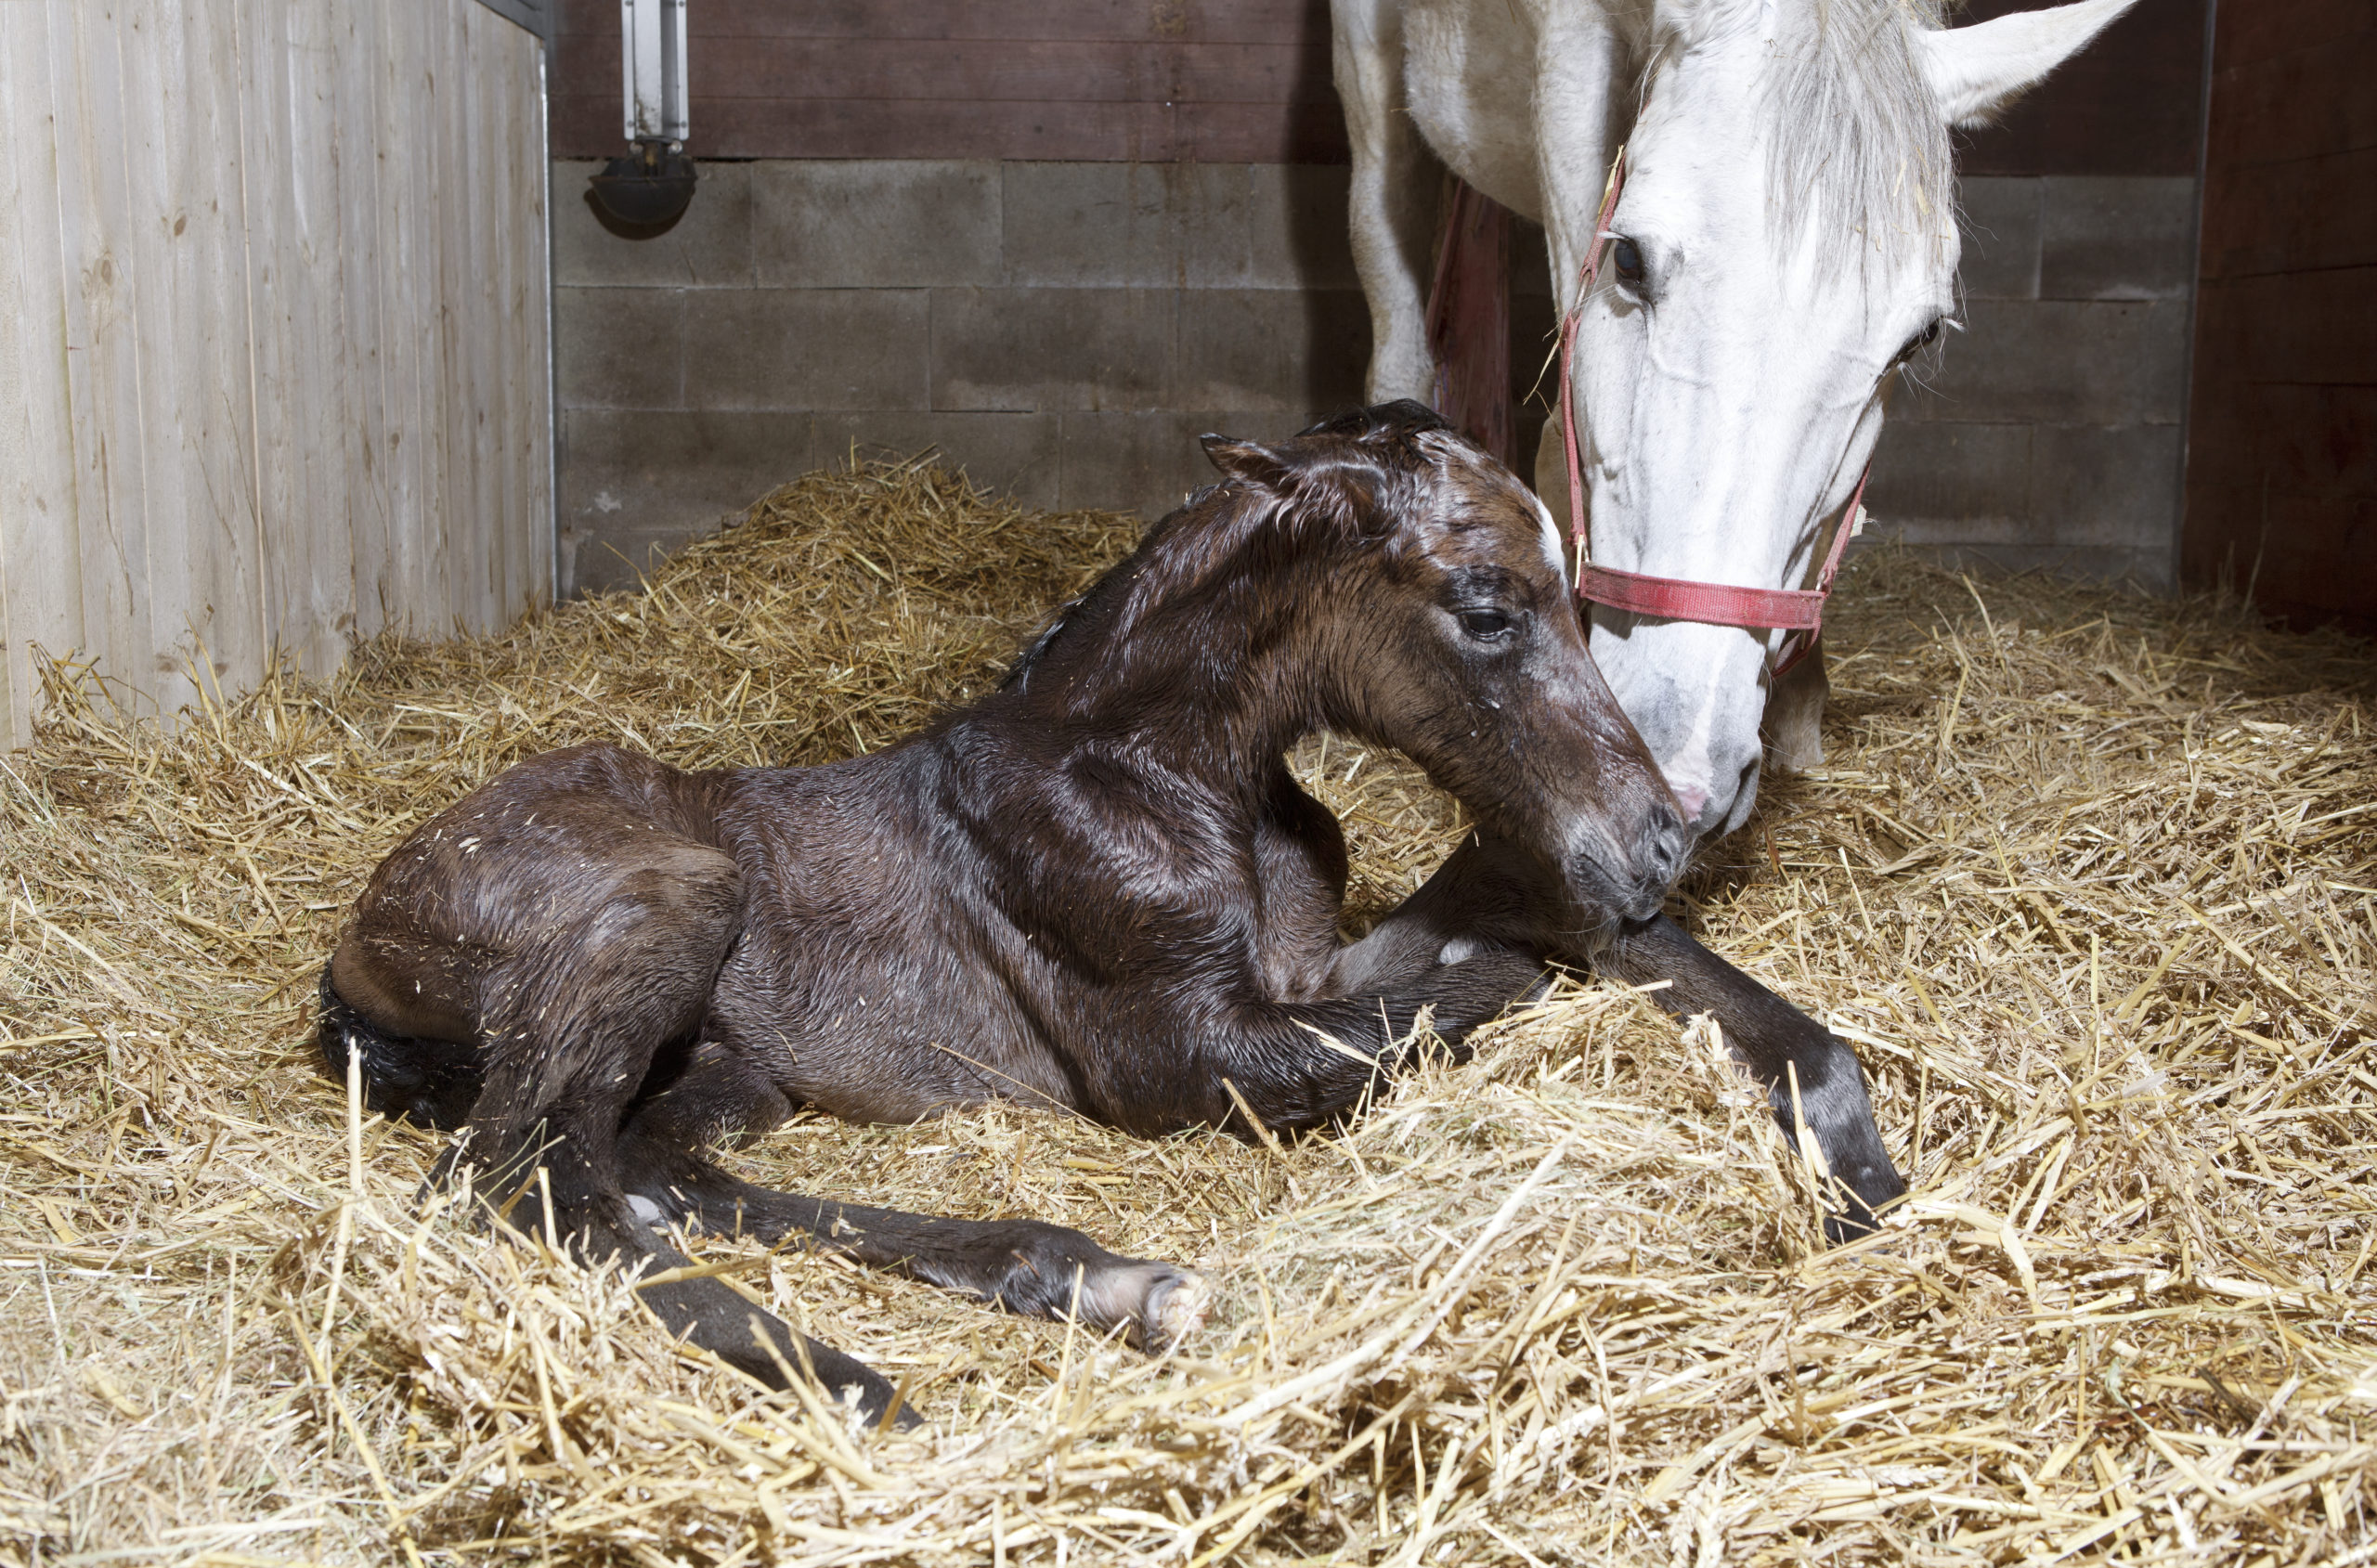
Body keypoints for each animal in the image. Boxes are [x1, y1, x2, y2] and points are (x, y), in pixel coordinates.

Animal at [316, 404, 1903, 1422]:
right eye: (1486, 605)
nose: (1658, 838)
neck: (1157, 771)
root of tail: (354, 943)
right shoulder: (1180, 1053)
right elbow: (1459, 996)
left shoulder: (1306, 964)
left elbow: (1509, 938)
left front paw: (1856, 1165)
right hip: (671, 899)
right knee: (514, 1177)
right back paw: (856, 1377)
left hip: (731, 1070)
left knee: (649, 1171)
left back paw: (1093, 1282)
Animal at [1333, 0, 2138, 837]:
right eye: (1628, 260)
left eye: (1919, 338)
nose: (1683, 776)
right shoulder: (1571, 77)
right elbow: (1560, 447)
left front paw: (1800, 713)